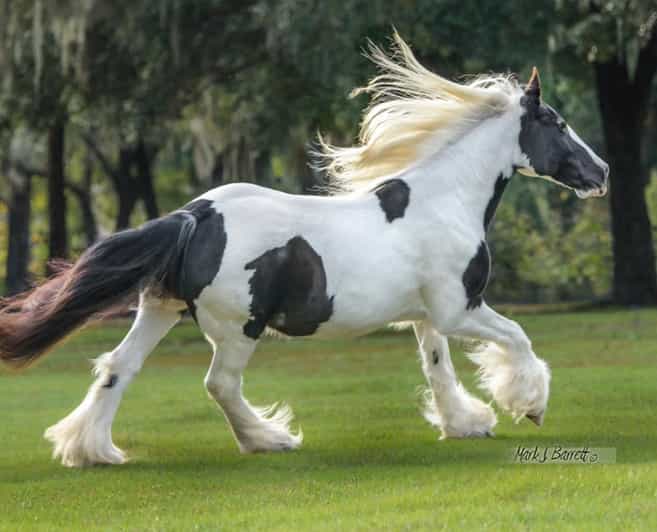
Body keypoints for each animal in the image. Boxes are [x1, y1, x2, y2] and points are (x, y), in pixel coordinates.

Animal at [0, 34, 609, 467]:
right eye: (556, 123)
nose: (601, 173)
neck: (444, 199)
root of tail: (195, 215)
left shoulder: (428, 316)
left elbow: (438, 370)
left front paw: (466, 423)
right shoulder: (461, 309)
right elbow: (518, 338)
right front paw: (529, 405)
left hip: (161, 309)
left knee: (117, 366)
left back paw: (92, 451)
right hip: (237, 327)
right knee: (219, 384)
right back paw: (269, 440)